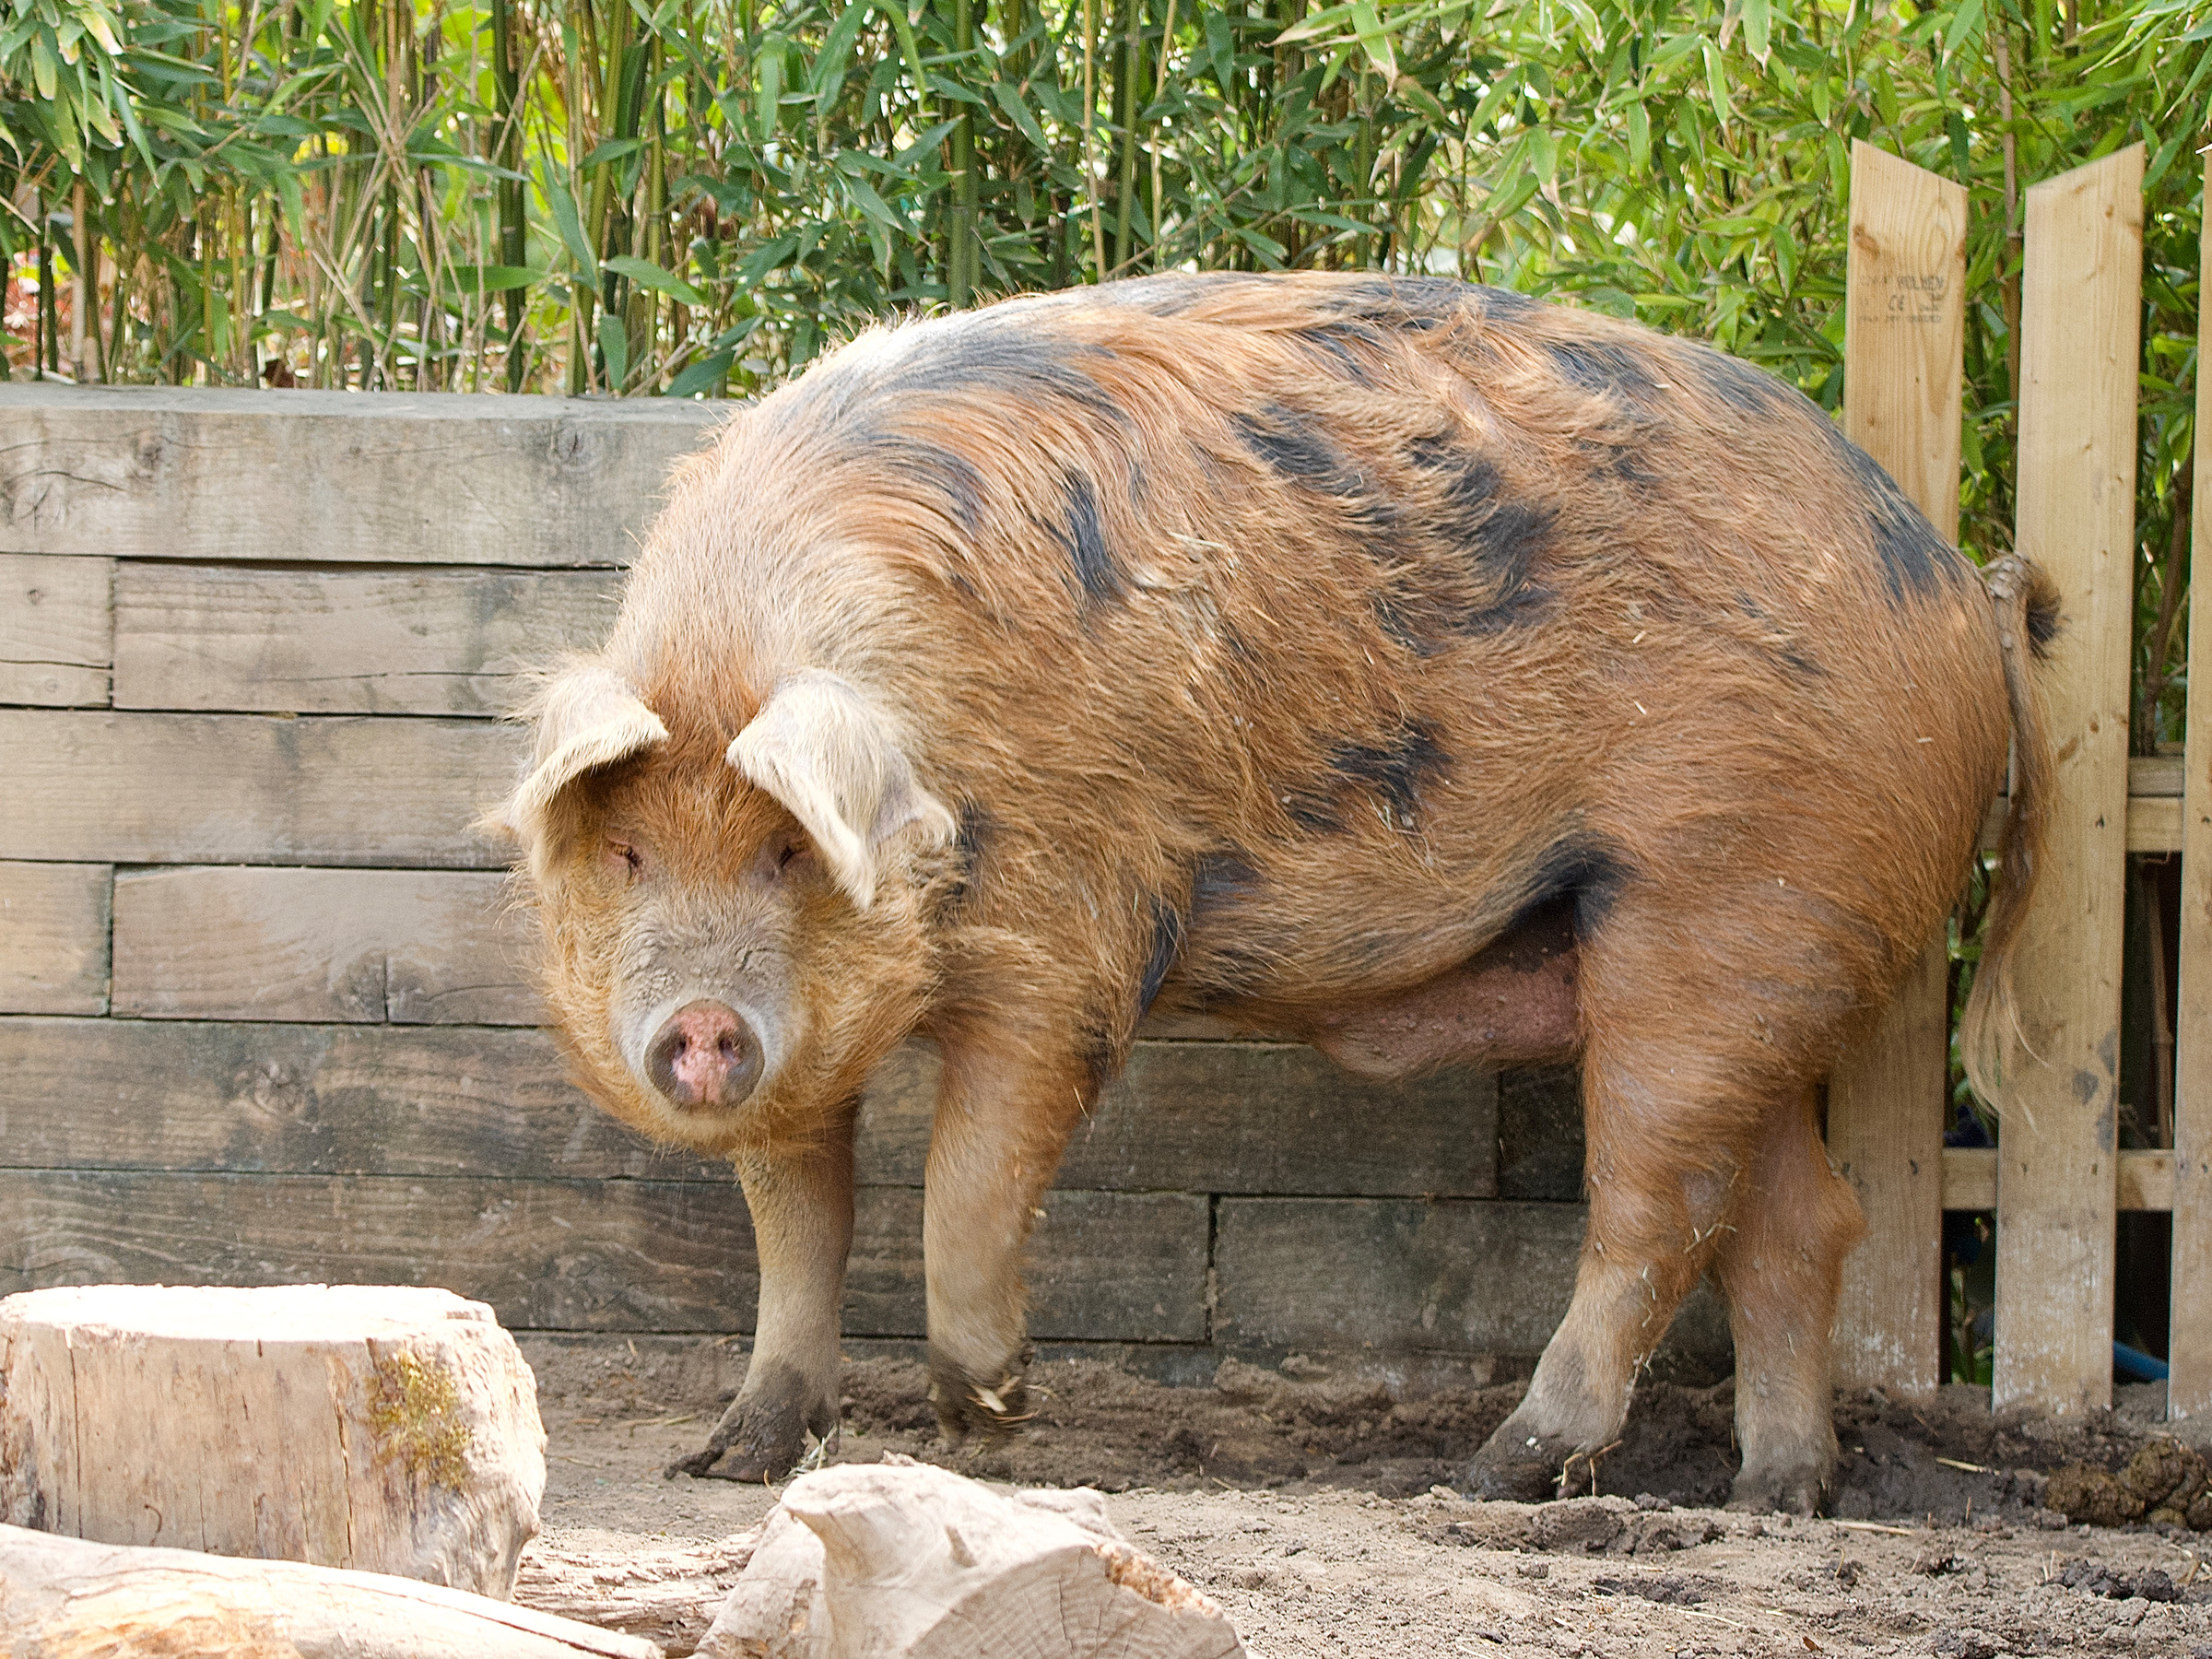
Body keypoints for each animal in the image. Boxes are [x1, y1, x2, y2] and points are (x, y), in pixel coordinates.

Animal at [497, 271, 2055, 1515]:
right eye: (627, 857)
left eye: (783, 852)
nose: (702, 1026)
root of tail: (1963, 592)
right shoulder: (815, 1043)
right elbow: (795, 1218)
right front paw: (729, 1460)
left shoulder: (1081, 913)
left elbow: (978, 1162)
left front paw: (984, 1411)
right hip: (1766, 949)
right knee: (1795, 1218)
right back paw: (1778, 1496)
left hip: (1723, 896)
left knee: (1655, 1205)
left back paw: (1486, 1474)